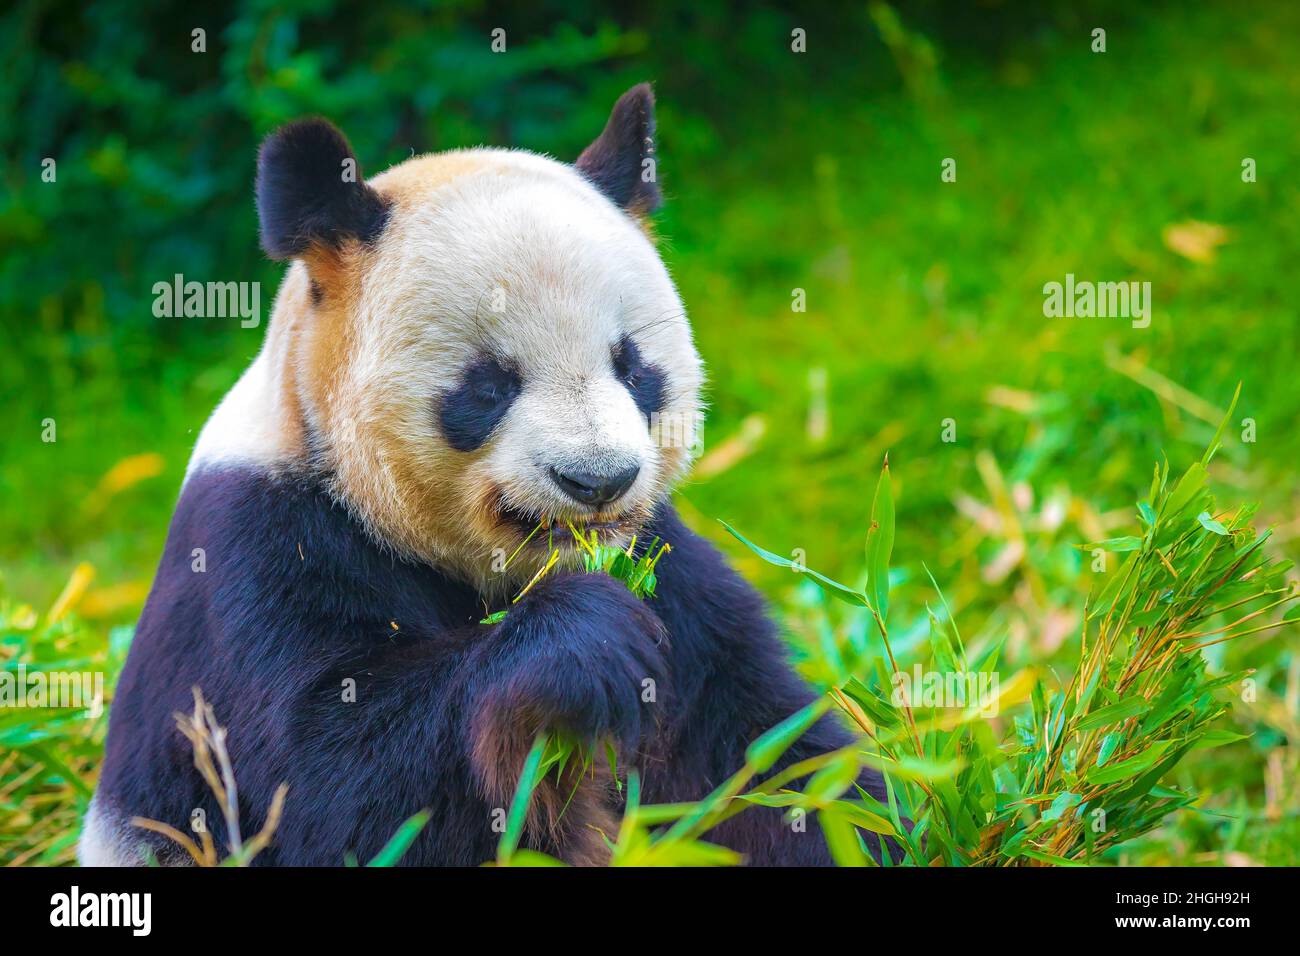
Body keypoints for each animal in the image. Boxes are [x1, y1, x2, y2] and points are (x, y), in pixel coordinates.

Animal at [80, 84, 888, 866]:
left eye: (633, 367)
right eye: (489, 384)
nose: (597, 481)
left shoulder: (669, 571)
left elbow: (768, 755)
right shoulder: (260, 548)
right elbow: (332, 785)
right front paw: (586, 643)